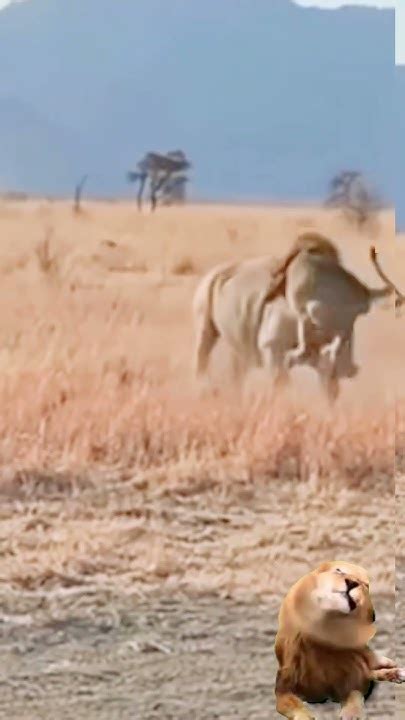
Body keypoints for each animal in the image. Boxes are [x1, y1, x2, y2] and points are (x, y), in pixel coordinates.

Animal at [275, 561, 405, 719]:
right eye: (339, 571)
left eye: (365, 584)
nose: (352, 582)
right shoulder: (283, 690)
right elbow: (295, 705)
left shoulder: (354, 679)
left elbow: (354, 692)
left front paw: (351, 713)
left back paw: (397, 671)